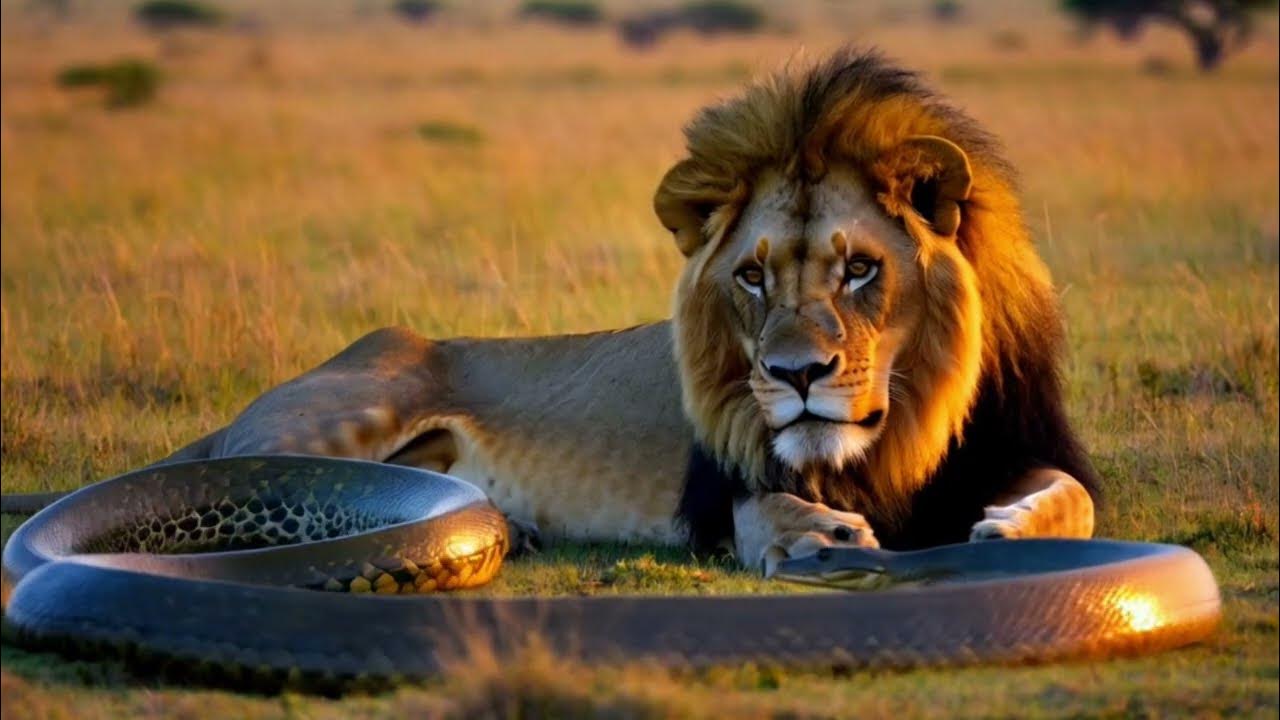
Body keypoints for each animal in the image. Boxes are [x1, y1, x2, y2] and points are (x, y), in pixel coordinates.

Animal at [156, 49, 1099, 575]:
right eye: (752, 278)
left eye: (861, 269)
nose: (795, 375)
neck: (906, 422)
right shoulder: (728, 490)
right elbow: (770, 508)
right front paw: (821, 536)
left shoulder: (1018, 443)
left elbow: (1073, 496)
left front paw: (1013, 529)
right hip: (339, 416)